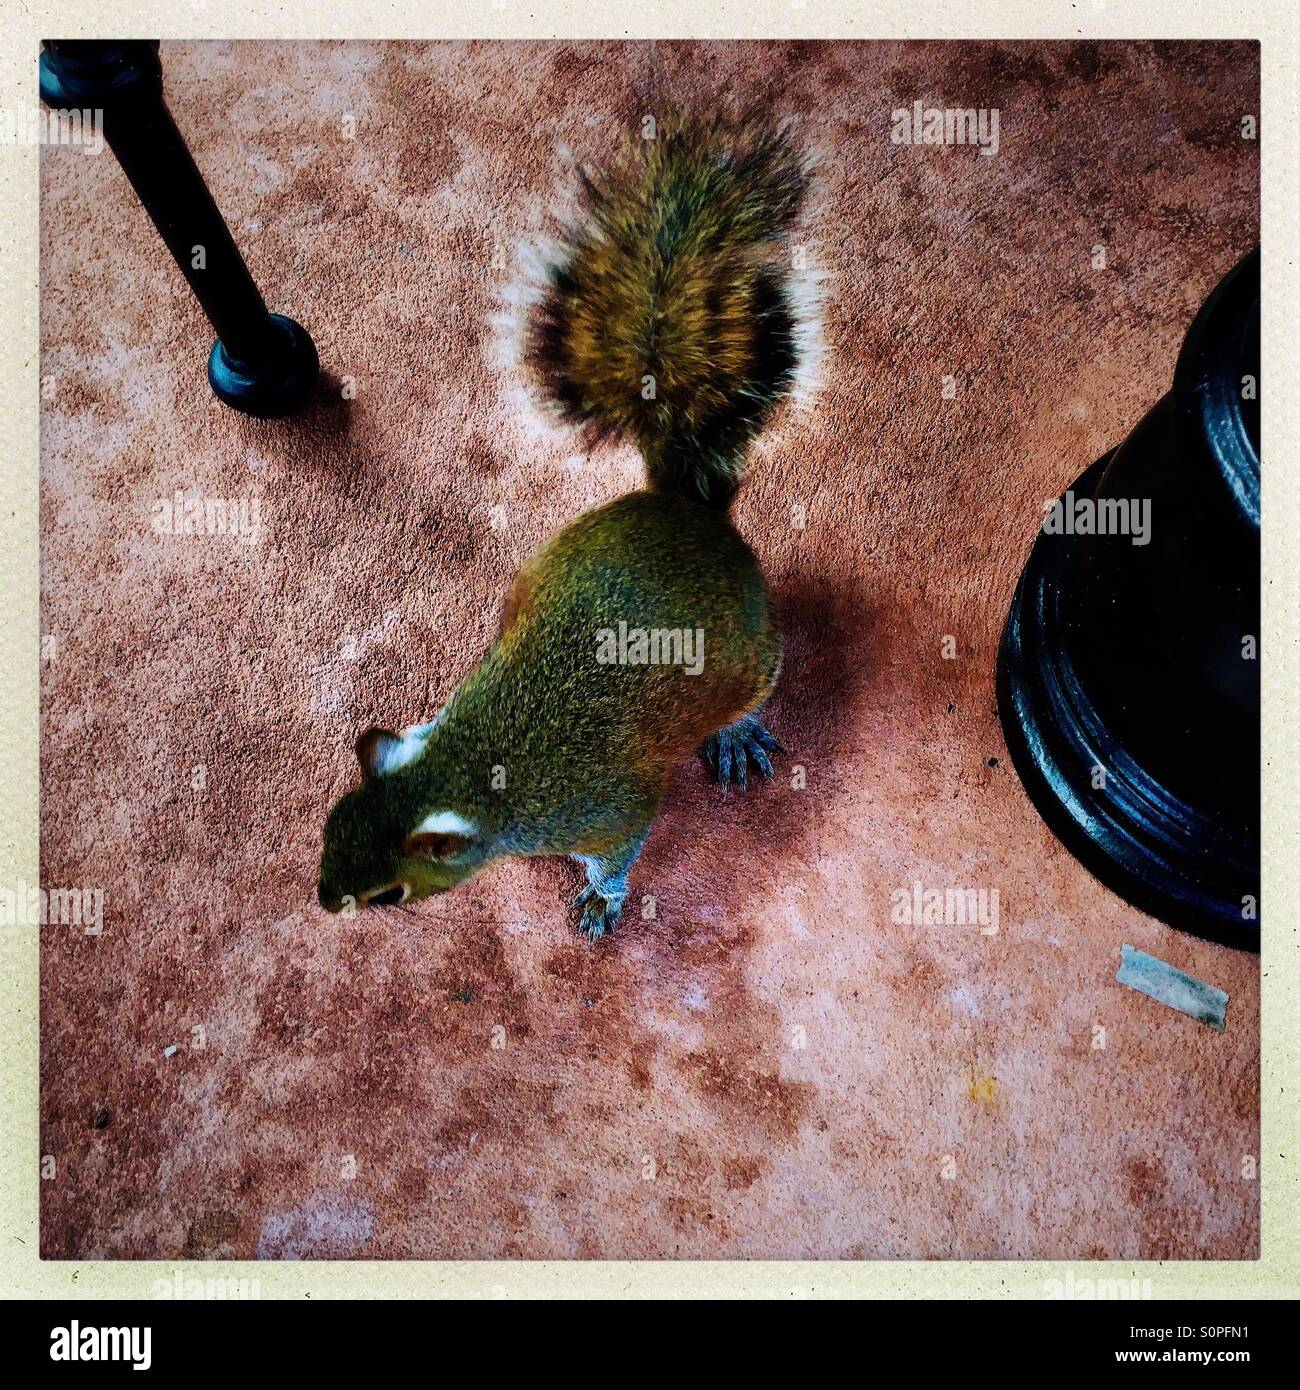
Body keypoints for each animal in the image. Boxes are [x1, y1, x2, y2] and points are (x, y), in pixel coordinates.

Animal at [318, 113, 818, 939]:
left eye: (390, 891)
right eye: (331, 825)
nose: (325, 900)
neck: (471, 765)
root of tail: (685, 508)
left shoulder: (605, 812)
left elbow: (616, 856)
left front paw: (601, 899)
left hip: (757, 651)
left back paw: (736, 732)